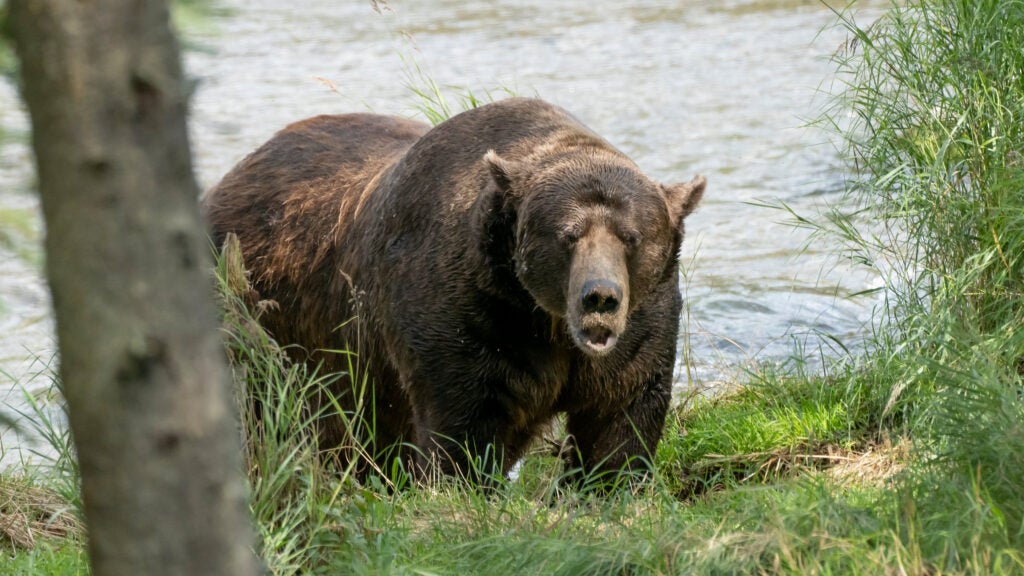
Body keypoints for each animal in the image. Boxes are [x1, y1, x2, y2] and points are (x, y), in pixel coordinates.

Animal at [202, 97, 705, 484]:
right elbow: (464, 420)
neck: (546, 321)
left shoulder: (640, 322)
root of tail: (229, 176)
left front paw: (607, 484)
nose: (599, 296)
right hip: (272, 320)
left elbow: (620, 412)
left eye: (631, 237)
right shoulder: (469, 311)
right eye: (568, 235)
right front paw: (465, 484)